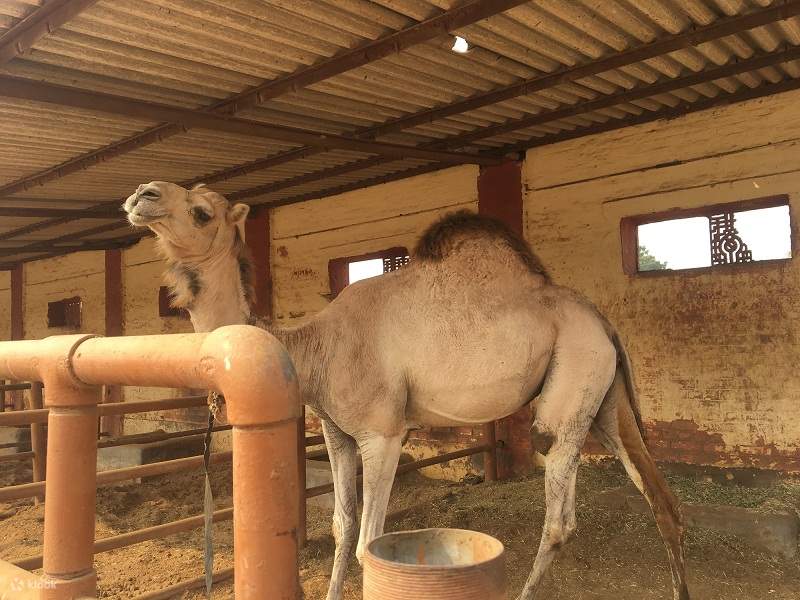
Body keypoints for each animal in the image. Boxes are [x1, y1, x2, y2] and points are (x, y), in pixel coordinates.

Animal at [123, 181, 690, 600]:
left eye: (202, 211)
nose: (142, 194)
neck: (314, 347)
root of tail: (603, 322)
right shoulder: (336, 432)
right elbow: (341, 525)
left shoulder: (383, 433)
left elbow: (369, 543)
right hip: (605, 398)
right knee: (659, 497)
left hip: (573, 384)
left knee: (559, 514)